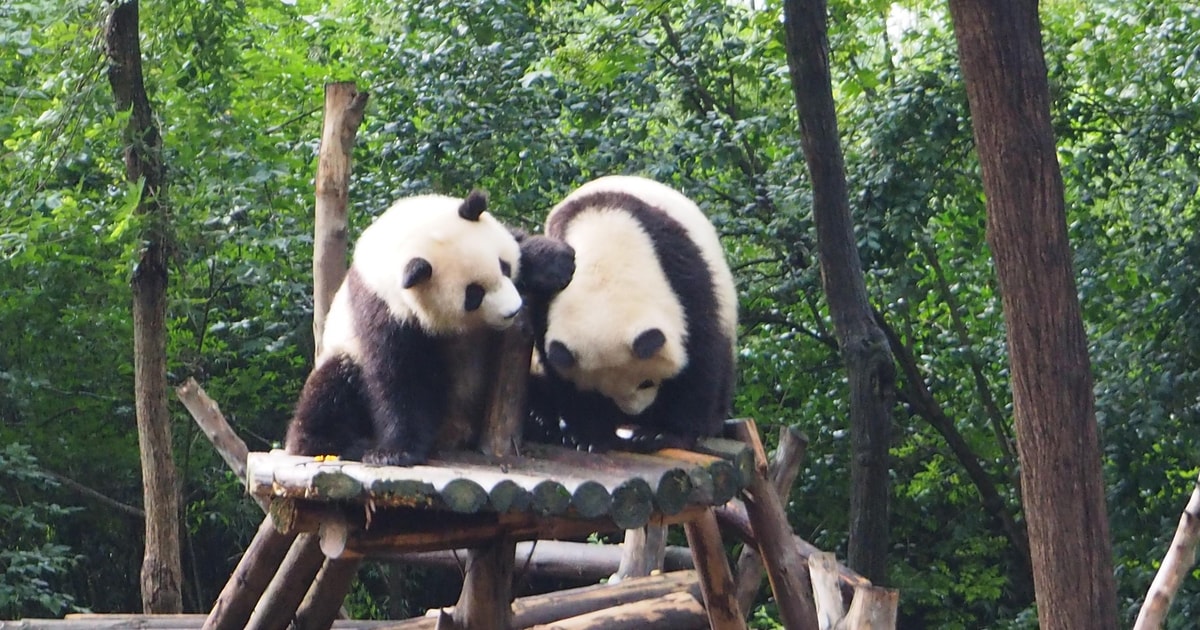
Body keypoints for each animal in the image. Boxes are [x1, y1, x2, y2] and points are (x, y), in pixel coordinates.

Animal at [285, 190, 574, 466]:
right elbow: (400, 377)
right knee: (331, 390)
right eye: (473, 294)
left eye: (503, 266)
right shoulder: (384, 309)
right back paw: (343, 444)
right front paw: (395, 453)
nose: (512, 311)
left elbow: (521, 242)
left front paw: (555, 262)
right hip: (344, 356)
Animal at [526, 175, 738, 453]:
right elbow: (563, 378)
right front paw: (590, 435)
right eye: (601, 391)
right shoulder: (548, 293)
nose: (635, 413)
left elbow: (699, 358)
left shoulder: (684, 274)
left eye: (646, 381)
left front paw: (660, 433)